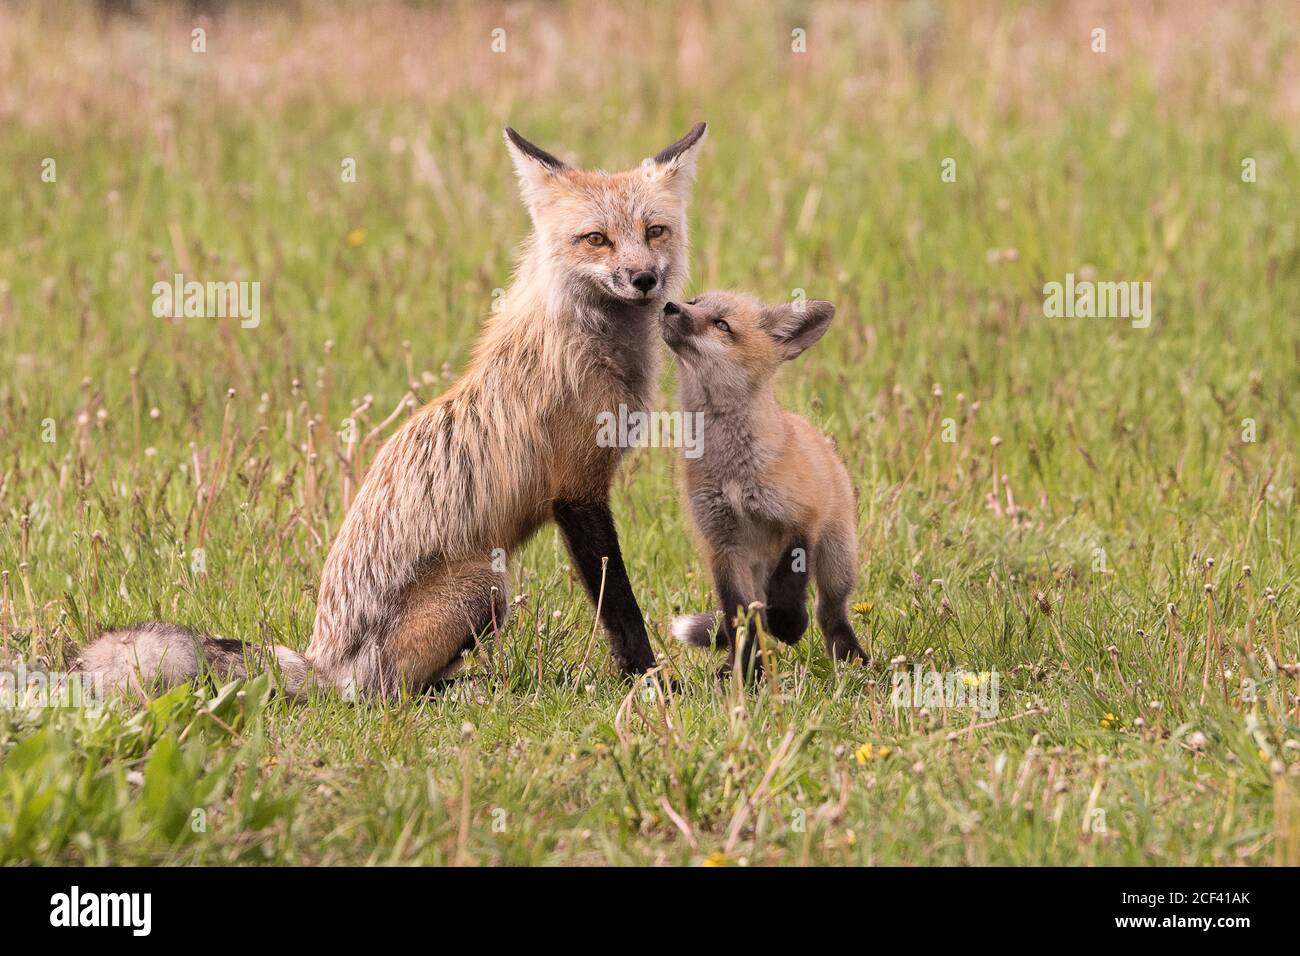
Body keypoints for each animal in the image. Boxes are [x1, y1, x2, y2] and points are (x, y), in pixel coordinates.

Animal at [74, 122, 708, 700]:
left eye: (654, 231)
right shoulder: (576, 491)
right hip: (484, 586)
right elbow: (621, 609)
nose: (644, 278)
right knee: (383, 693)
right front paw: (651, 684)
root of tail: (323, 661)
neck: (590, 338)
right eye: (596, 239)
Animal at [661, 290, 868, 680]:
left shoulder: (801, 518)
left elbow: (789, 580)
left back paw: (854, 661)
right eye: (695, 301)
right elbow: (737, 618)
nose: (669, 306)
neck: (733, 473)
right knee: (752, 617)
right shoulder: (721, 544)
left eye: (722, 325)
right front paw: (744, 674)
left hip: (838, 560)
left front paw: (789, 624)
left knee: (830, 614)